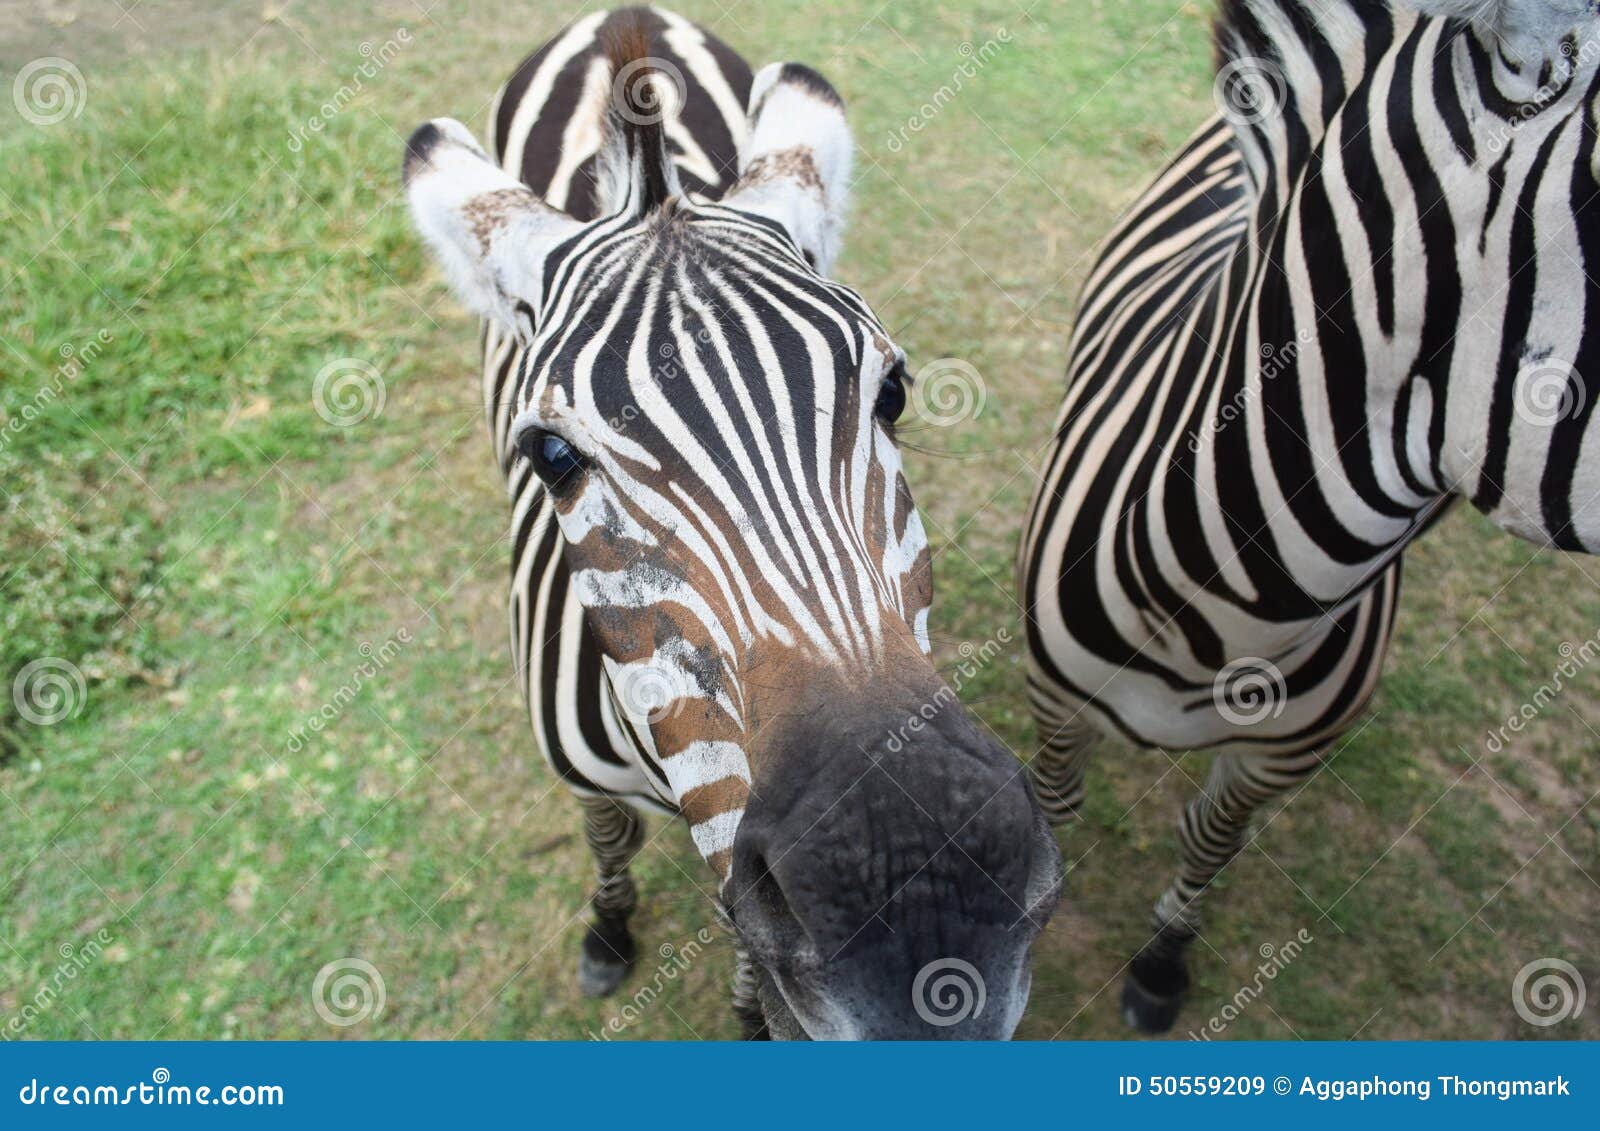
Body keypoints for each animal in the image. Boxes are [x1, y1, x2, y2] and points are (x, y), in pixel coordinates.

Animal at [404, 6, 1061, 1039]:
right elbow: (607, 834)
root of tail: (617, 22)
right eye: (552, 456)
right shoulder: (586, 777)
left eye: (893, 393)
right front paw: (607, 931)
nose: (921, 900)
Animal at [1019, 0, 1600, 1032]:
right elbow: (1055, 804)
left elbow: (1211, 836)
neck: (1225, 606)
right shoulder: (1054, 699)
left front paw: (1163, 961)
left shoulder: (1280, 759)